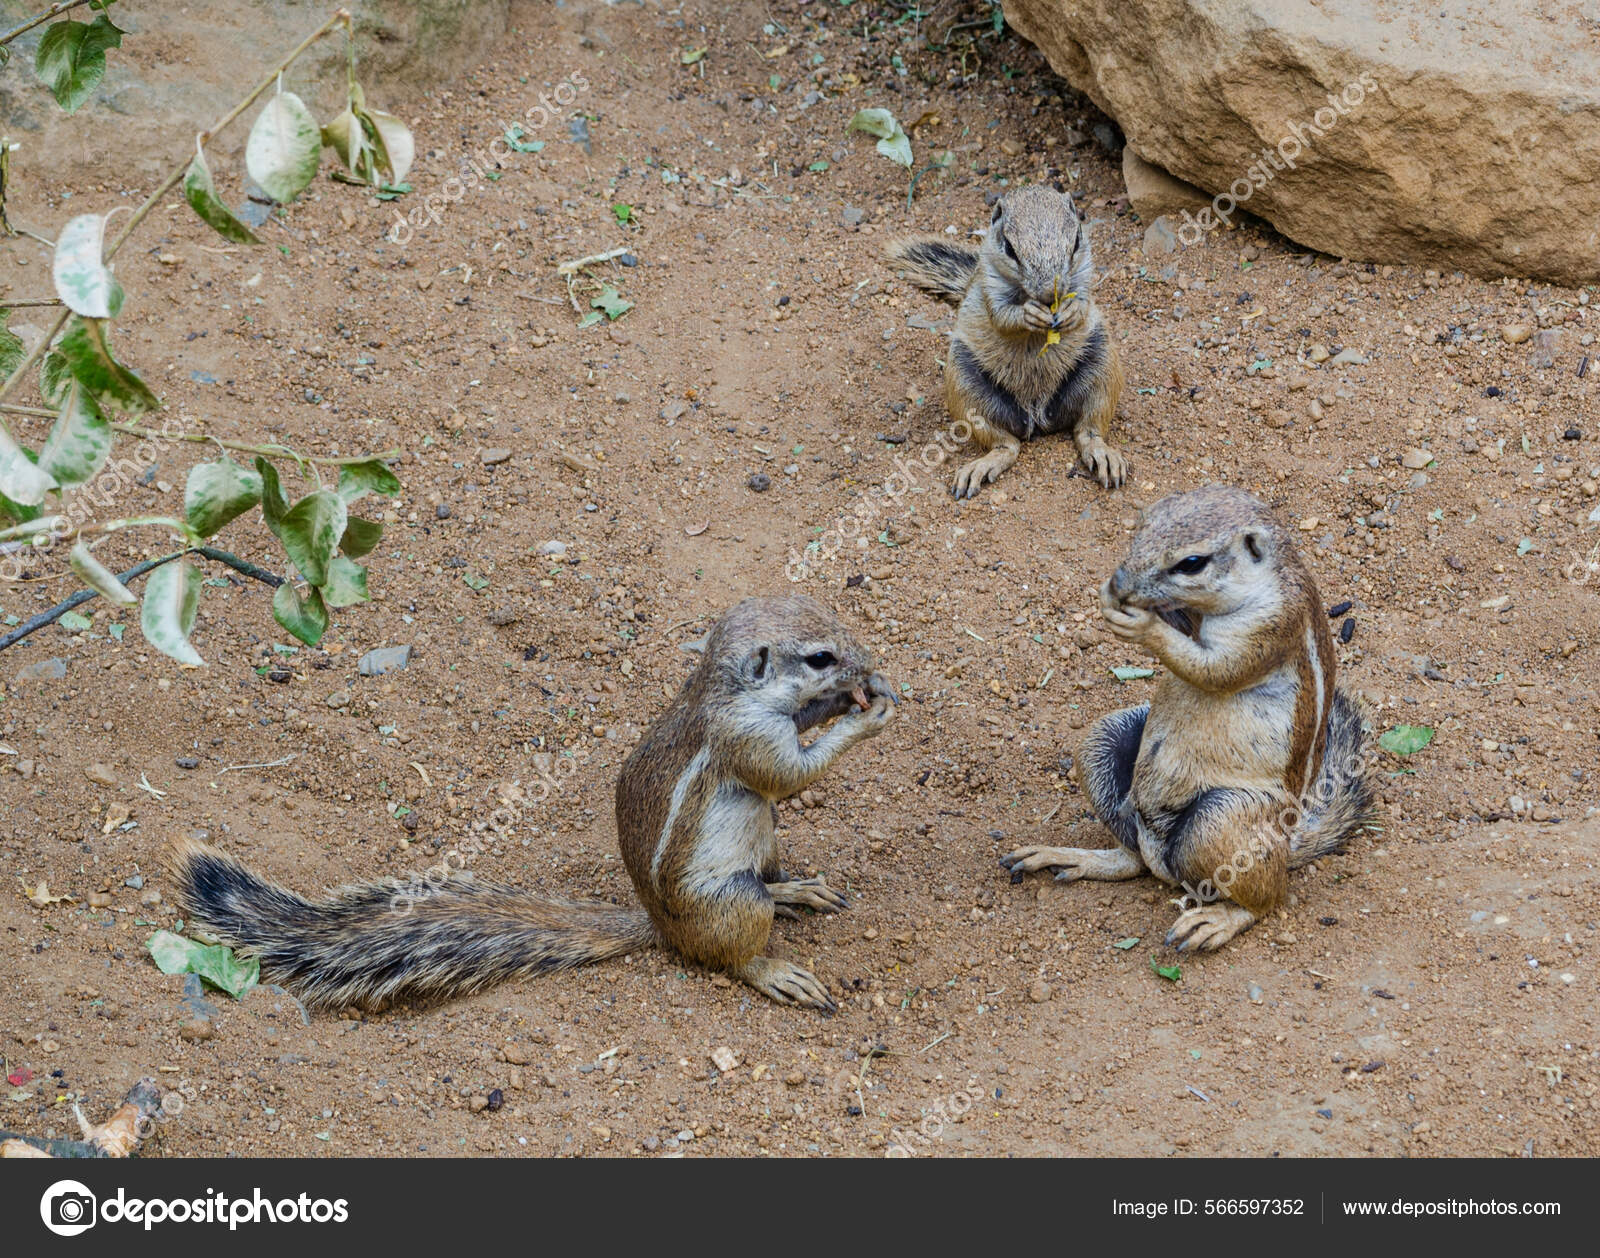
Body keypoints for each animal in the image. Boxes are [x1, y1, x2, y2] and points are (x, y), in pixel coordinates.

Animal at [169, 595, 896, 1014]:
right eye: (819, 655)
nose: (866, 665)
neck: (726, 689)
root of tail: (660, 929)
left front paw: (865, 693)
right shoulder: (745, 738)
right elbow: (788, 774)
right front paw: (868, 715)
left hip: (764, 839)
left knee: (771, 876)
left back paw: (796, 889)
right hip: (730, 902)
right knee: (733, 950)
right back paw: (774, 969)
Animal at [886, 184, 1126, 497]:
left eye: (1075, 242)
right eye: (1010, 249)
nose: (1048, 295)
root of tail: (1038, 417)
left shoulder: (1085, 273)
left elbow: (1084, 302)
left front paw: (1071, 311)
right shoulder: (990, 283)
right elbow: (1001, 317)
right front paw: (1029, 314)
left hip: (1103, 364)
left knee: (1089, 430)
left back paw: (1103, 454)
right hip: (965, 386)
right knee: (1006, 445)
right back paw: (982, 466)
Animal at [1001, 486, 1377, 951]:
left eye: (1192, 563)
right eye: (1142, 523)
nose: (1120, 581)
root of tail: (1289, 840)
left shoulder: (1269, 624)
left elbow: (1214, 668)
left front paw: (1141, 625)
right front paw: (1112, 594)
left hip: (1220, 822)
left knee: (1266, 898)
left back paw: (1216, 921)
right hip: (1101, 743)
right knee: (1131, 858)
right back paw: (1071, 857)